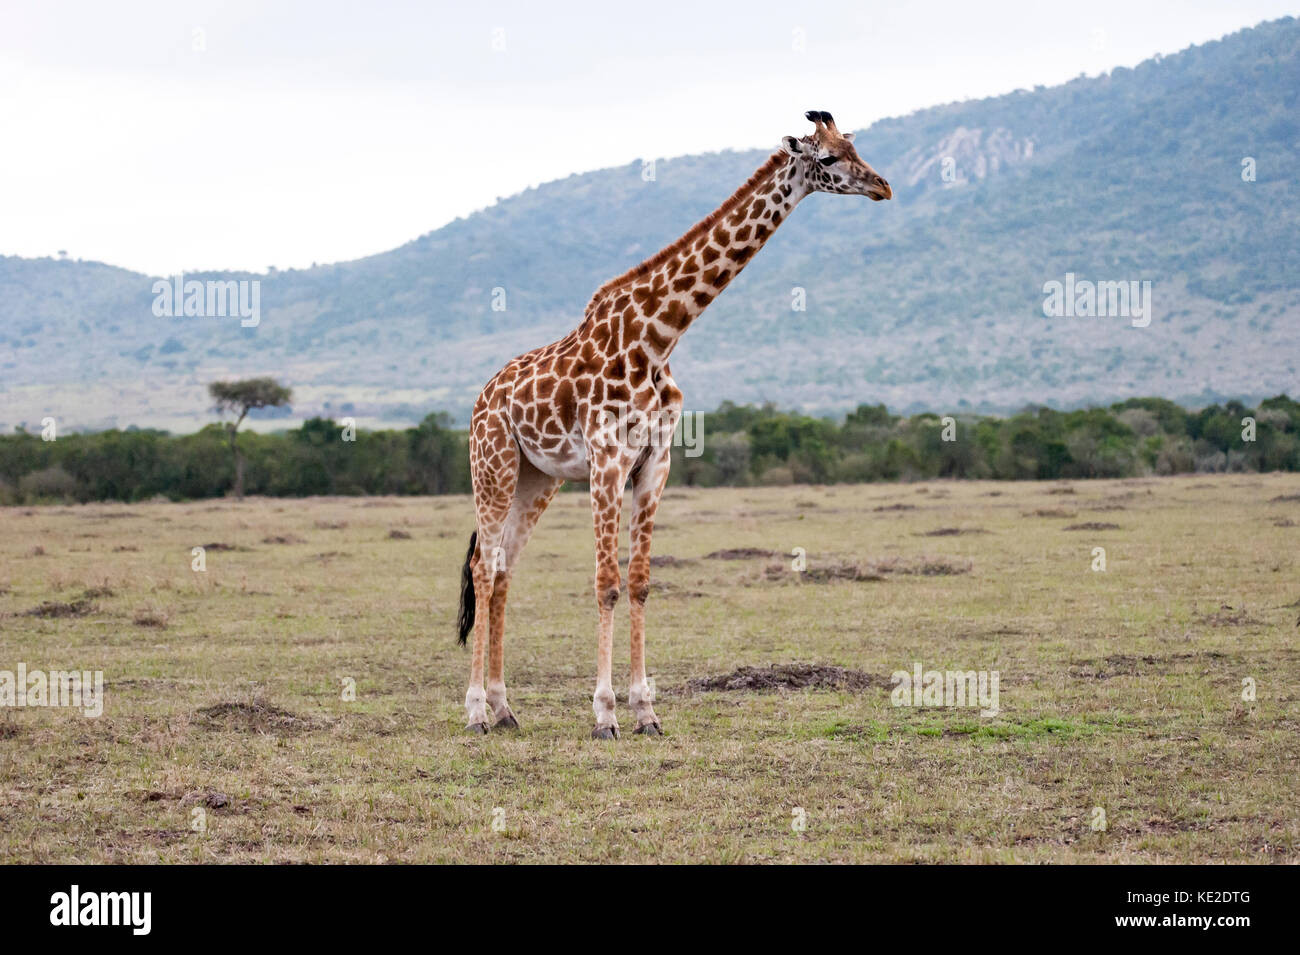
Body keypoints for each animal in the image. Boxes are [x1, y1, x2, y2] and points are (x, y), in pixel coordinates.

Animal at [456, 110, 892, 738]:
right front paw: (605, 715)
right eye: (829, 158)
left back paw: (504, 707)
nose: (883, 186)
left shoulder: (654, 464)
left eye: (855, 146)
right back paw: (474, 712)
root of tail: (482, 398)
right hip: (492, 465)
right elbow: (606, 584)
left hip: (539, 477)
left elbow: (639, 583)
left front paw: (645, 711)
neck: (659, 337)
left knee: (504, 568)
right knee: (482, 567)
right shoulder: (608, 460)